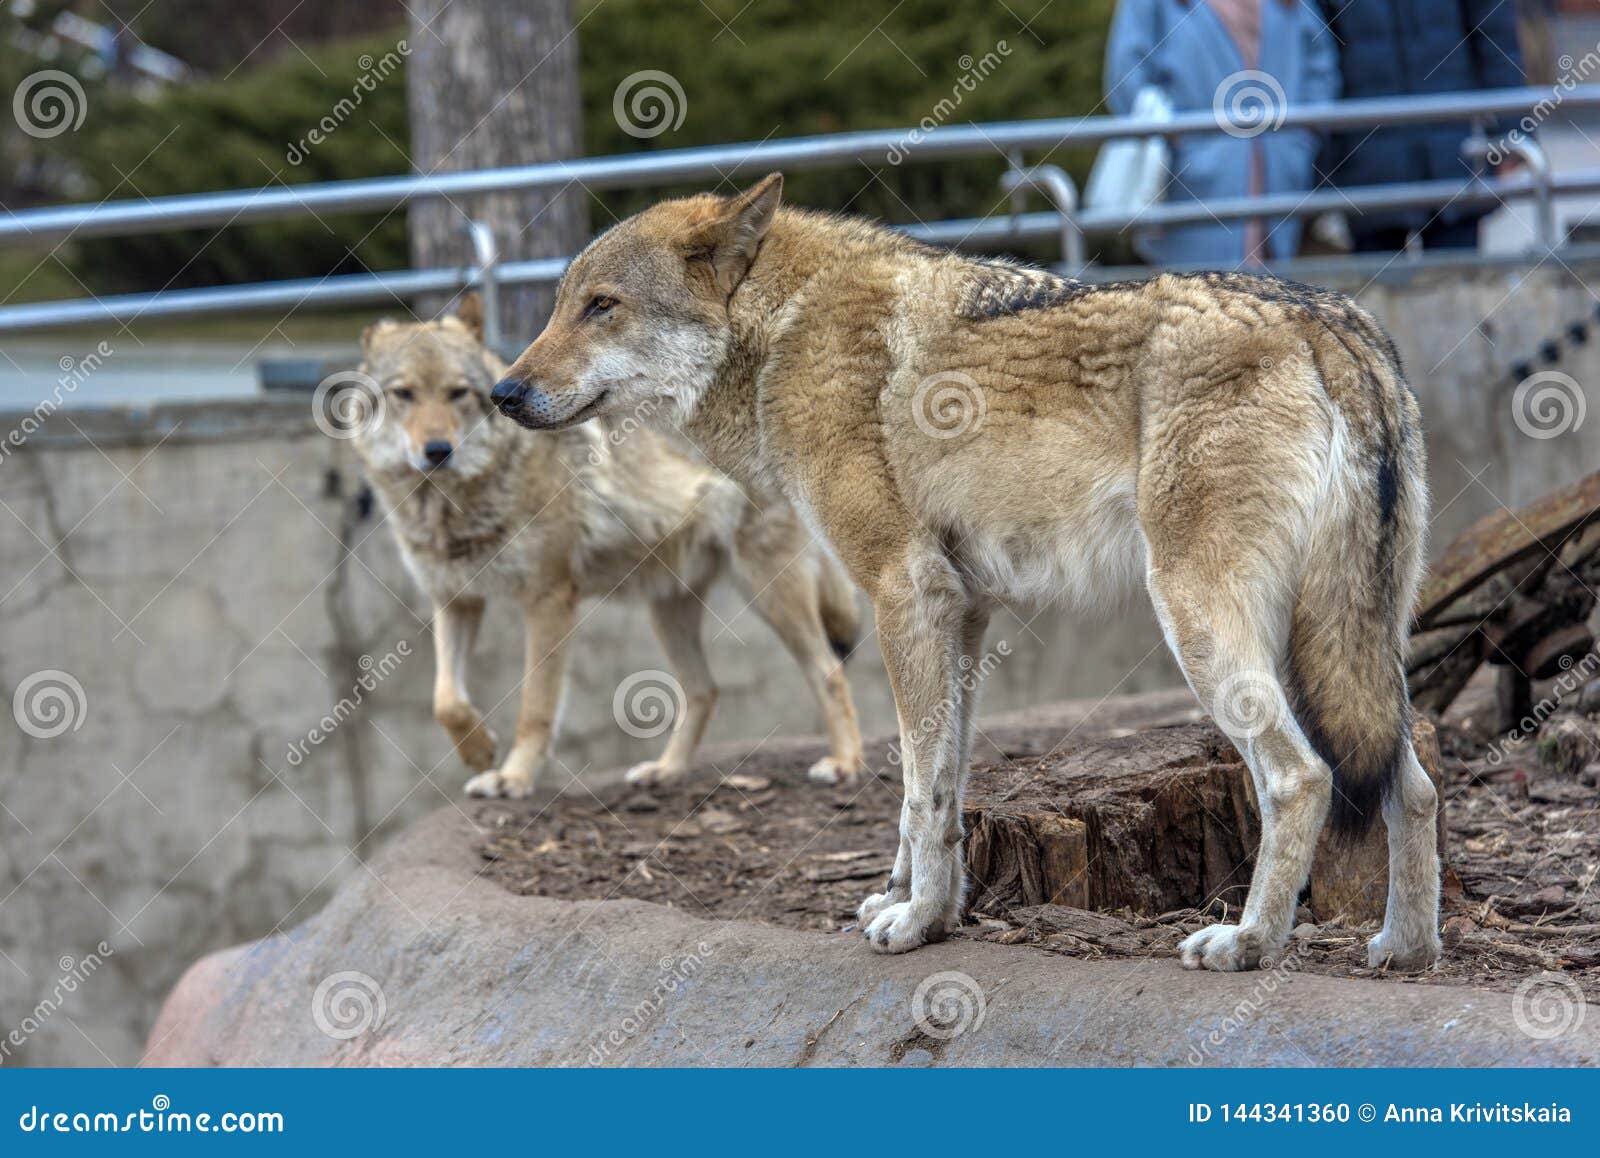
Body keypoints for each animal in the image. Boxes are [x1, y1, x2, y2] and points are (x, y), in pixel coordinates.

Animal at [350, 296, 866, 799]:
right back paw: (666, 771)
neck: (454, 508)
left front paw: (513, 778)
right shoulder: (455, 600)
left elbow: (535, 705)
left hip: (768, 595)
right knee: (705, 690)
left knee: (829, 671)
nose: (438, 451)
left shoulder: (549, 599)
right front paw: (478, 752)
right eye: (403, 394)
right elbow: (445, 700)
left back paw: (845, 763)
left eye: (457, 393)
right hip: (668, 608)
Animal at [488, 175, 1441, 973]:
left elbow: (918, 789)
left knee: (1303, 777)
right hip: (1351, 652)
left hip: (1202, 627)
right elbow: (939, 790)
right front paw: (920, 907)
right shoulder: (964, 613)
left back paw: (1248, 942)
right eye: (561, 307)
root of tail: (1332, 318)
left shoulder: (902, 592)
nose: (502, 393)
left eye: (602, 307)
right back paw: (1405, 947)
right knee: (1415, 784)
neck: (782, 329)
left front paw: (916, 924)